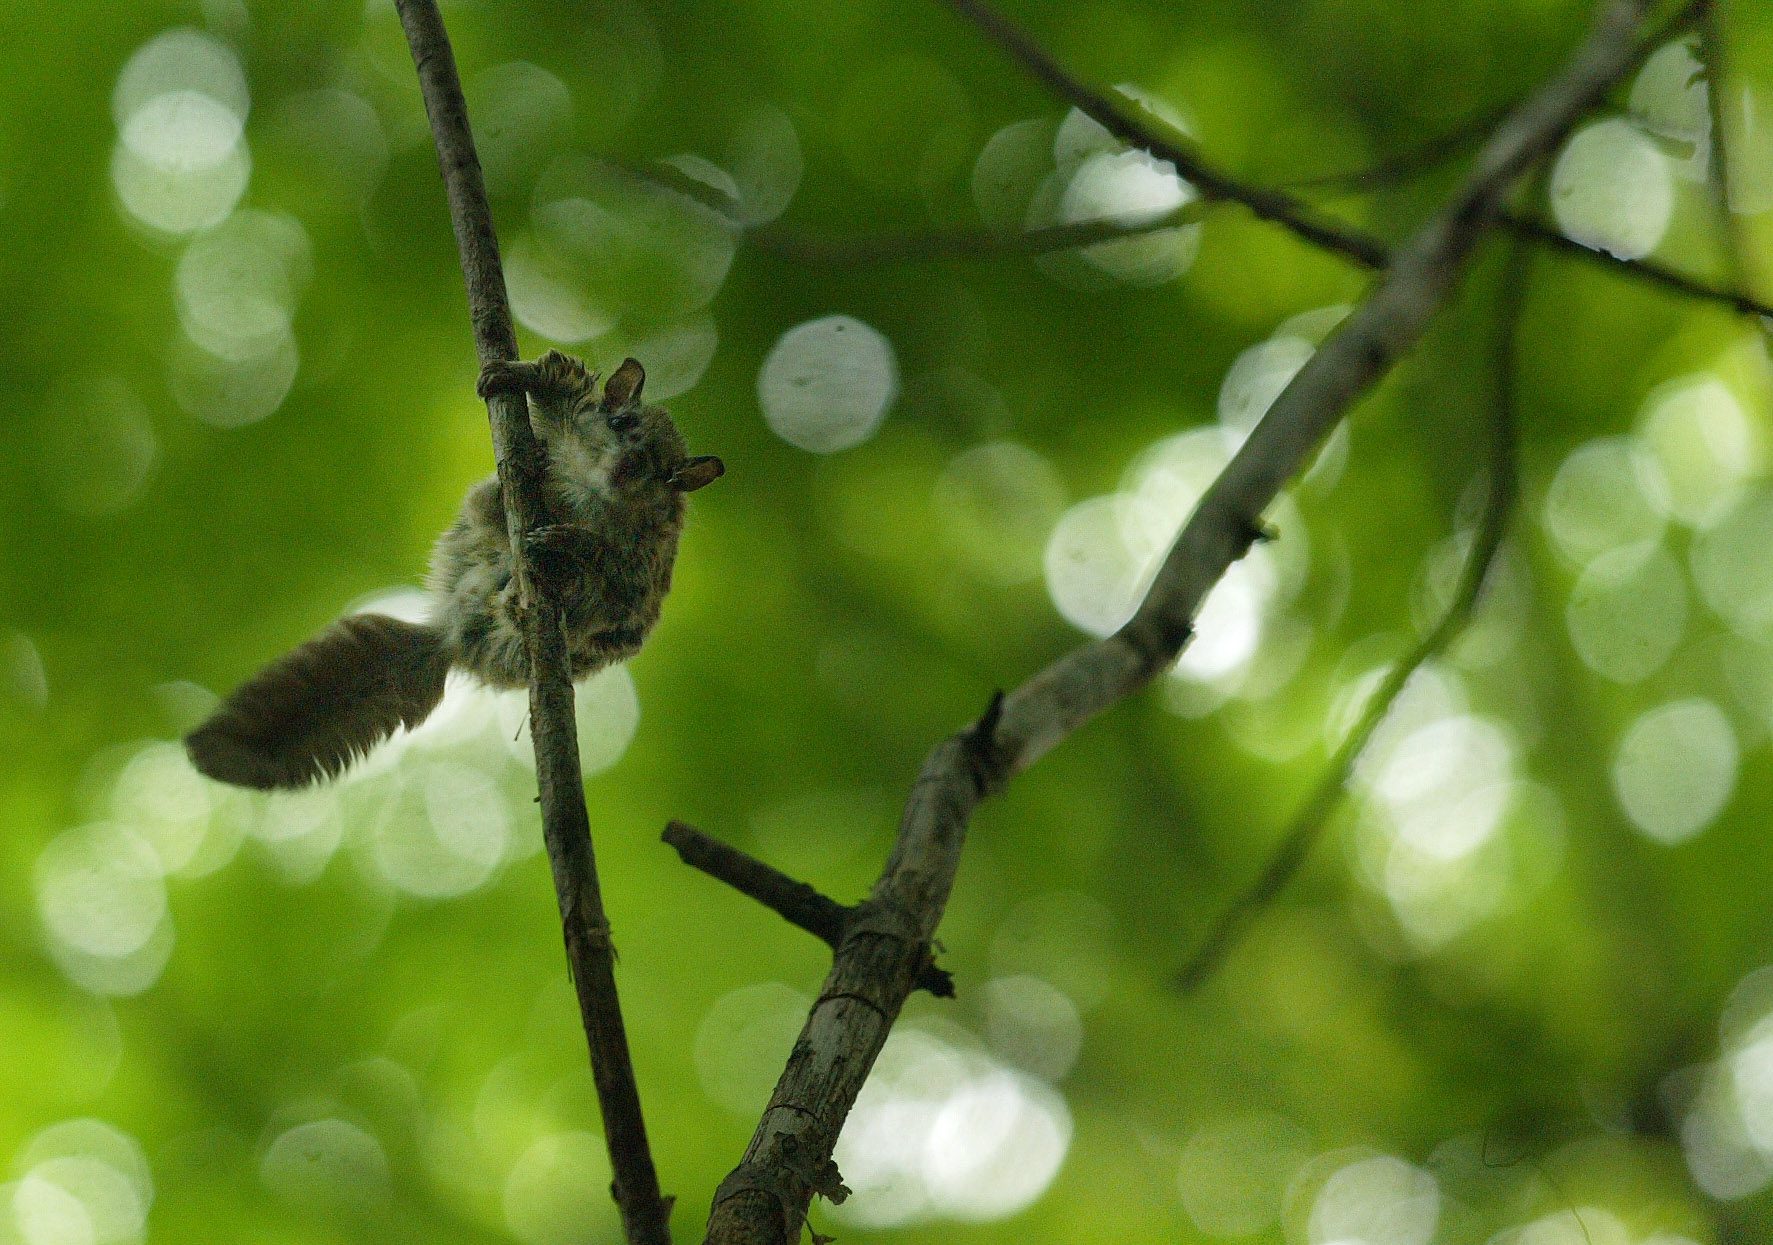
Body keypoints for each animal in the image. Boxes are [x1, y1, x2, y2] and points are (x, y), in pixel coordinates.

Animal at [184, 350, 723, 790]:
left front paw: (570, 542)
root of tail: (451, 638)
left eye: (664, 475)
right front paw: (509, 375)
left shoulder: (643, 559)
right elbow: (558, 375)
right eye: (619, 422)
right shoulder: (570, 411)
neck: (591, 490)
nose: (627, 467)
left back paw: (524, 589)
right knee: (484, 513)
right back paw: (510, 494)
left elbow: (615, 580)